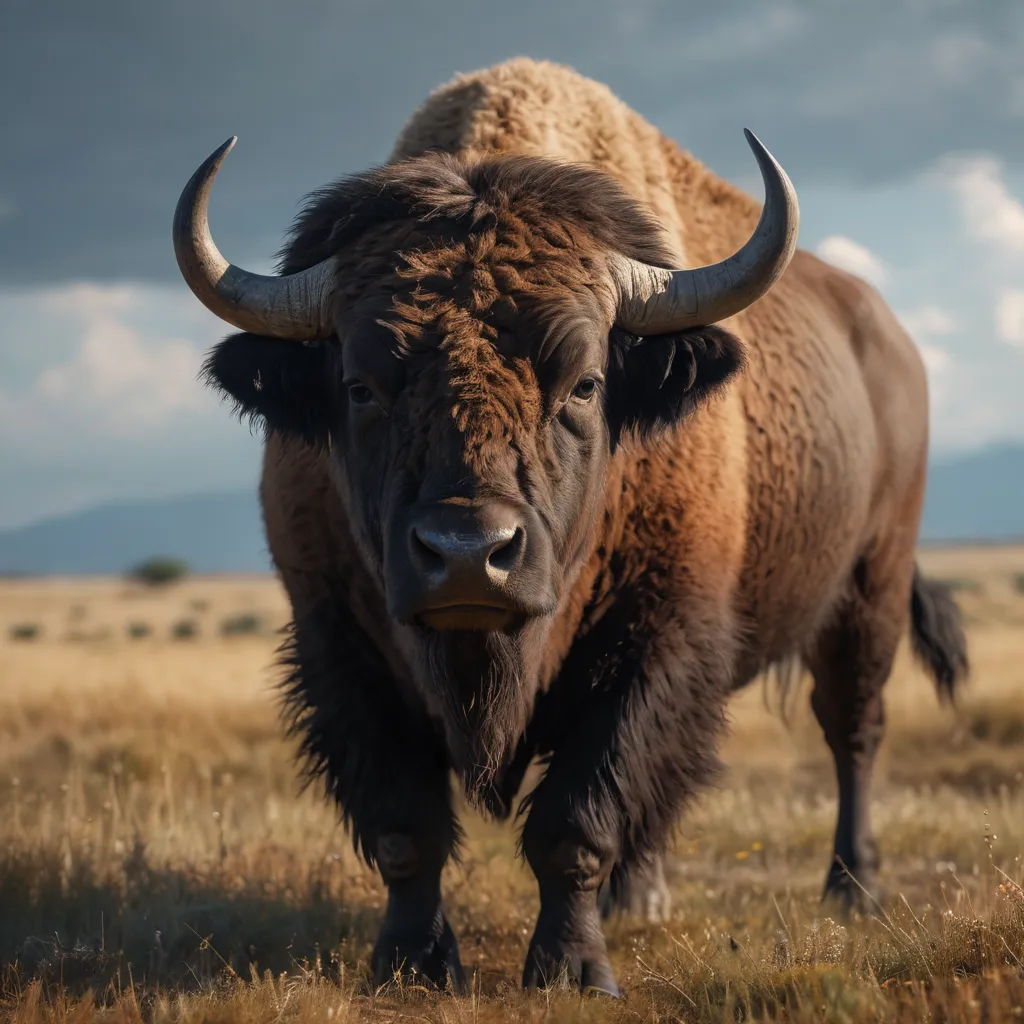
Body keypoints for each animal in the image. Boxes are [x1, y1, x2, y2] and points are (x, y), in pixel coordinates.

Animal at [172, 58, 968, 997]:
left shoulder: (655, 641)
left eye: (585, 383)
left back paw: (853, 887)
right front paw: (411, 965)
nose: (468, 556)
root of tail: (890, 340)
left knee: (851, 728)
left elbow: (576, 821)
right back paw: (644, 897)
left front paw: (573, 971)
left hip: (871, 586)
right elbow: (407, 829)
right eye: (360, 385)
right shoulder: (340, 647)